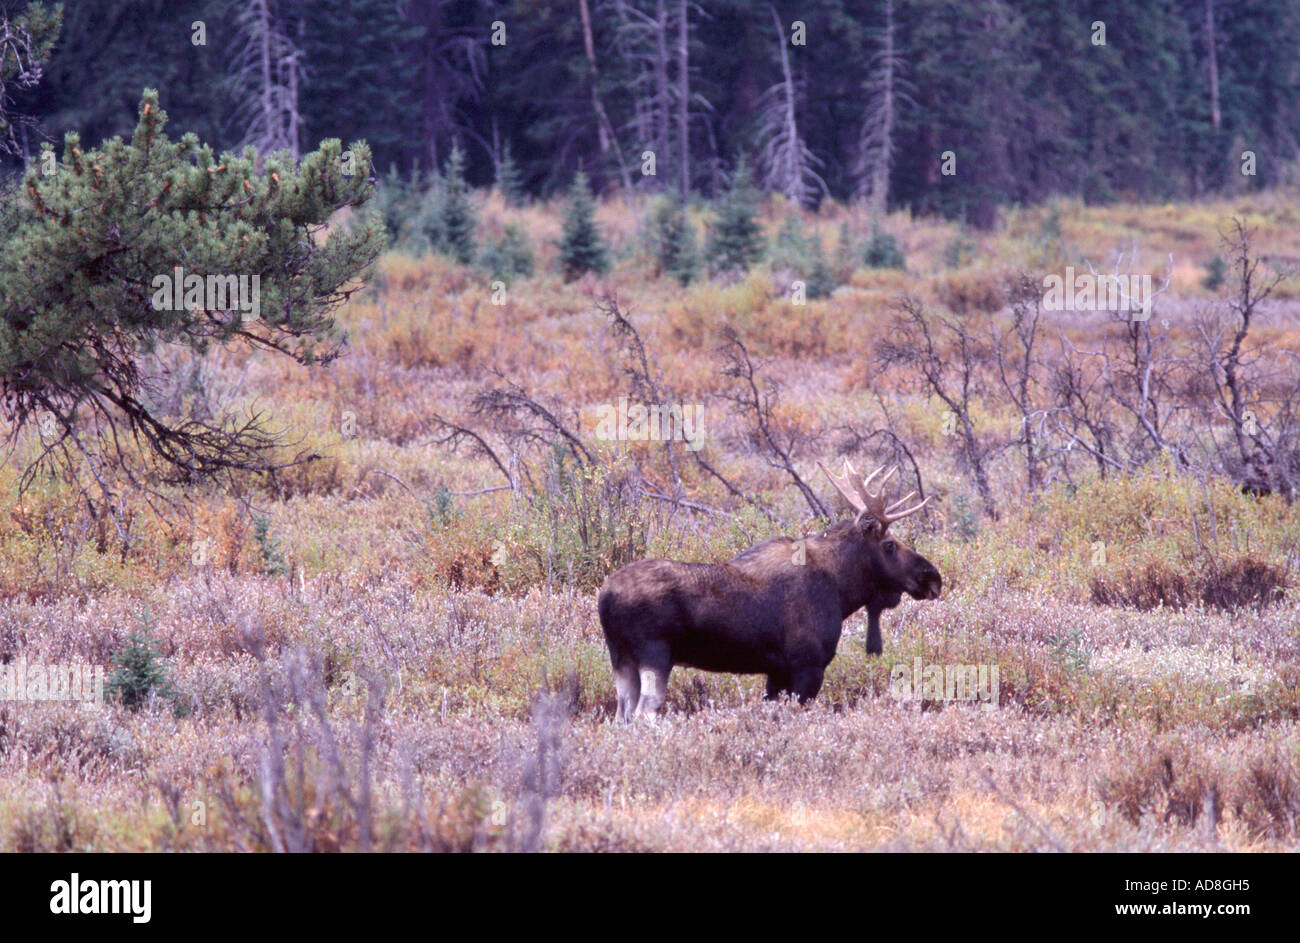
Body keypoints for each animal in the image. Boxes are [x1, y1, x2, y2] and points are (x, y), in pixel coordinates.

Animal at [597, 460, 941, 721]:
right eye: (889, 545)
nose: (932, 577)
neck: (842, 589)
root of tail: (604, 597)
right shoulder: (807, 667)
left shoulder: (777, 673)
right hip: (654, 655)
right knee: (643, 714)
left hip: (621, 660)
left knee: (621, 715)